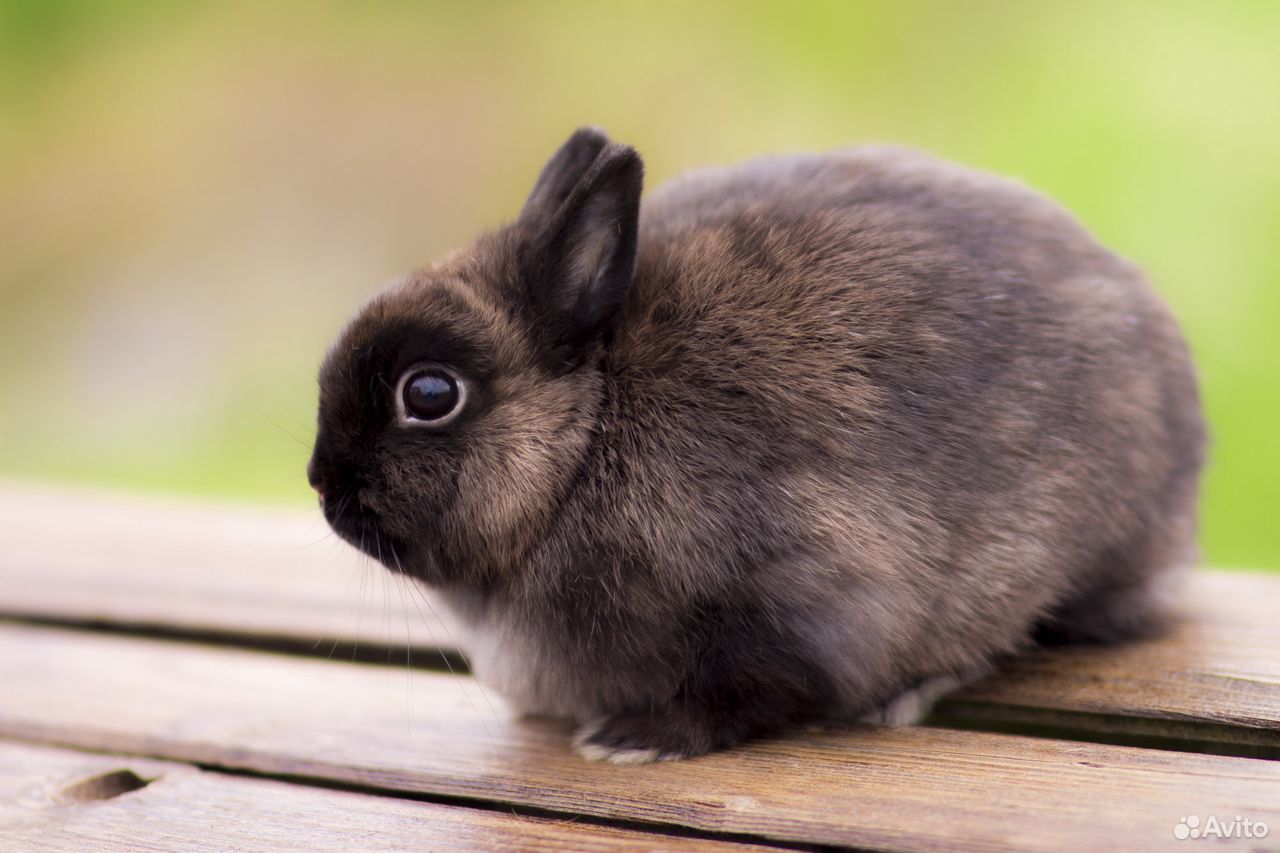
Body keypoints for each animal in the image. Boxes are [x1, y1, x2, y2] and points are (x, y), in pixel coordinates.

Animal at [307, 127, 1205, 763]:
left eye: (429, 394)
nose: (322, 483)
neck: (588, 437)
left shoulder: (797, 598)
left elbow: (751, 693)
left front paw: (634, 739)